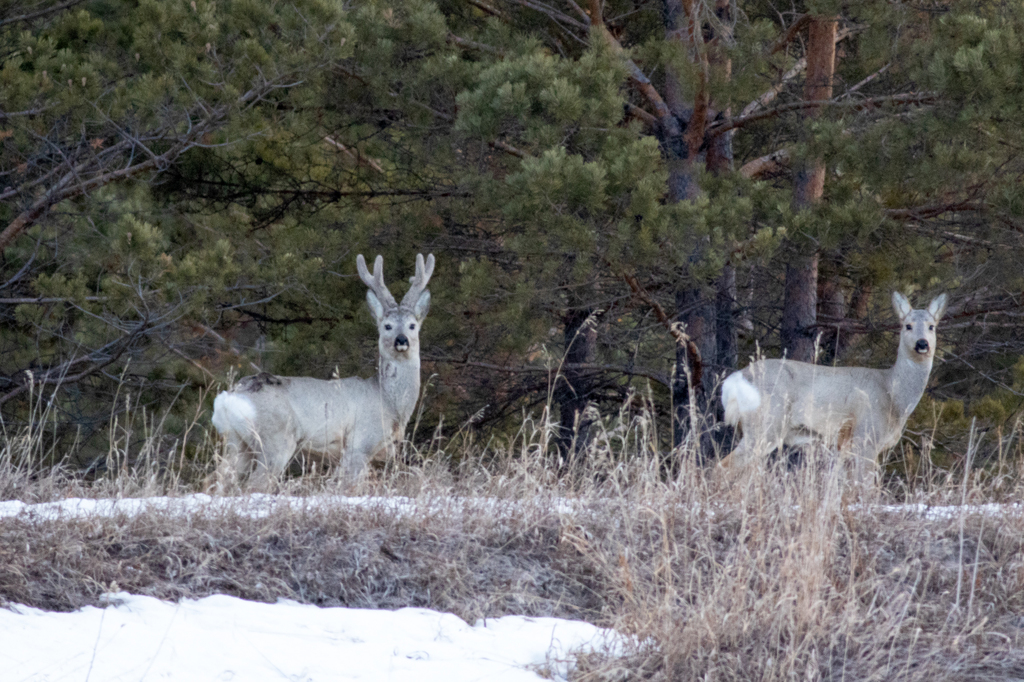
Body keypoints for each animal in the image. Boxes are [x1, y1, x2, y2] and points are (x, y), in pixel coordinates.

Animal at [210, 253, 435, 490]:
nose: (401, 341)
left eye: (412, 325)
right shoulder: (358, 445)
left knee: (216, 480)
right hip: (275, 441)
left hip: (237, 443)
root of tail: (230, 398)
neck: (388, 402)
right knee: (255, 484)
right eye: (387, 326)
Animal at [718, 292, 948, 486]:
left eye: (932, 326)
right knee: (723, 467)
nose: (922, 344)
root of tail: (735, 380)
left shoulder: (845, 446)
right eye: (908, 326)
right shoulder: (865, 437)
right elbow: (865, 488)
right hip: (765, 423)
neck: (893, 394)